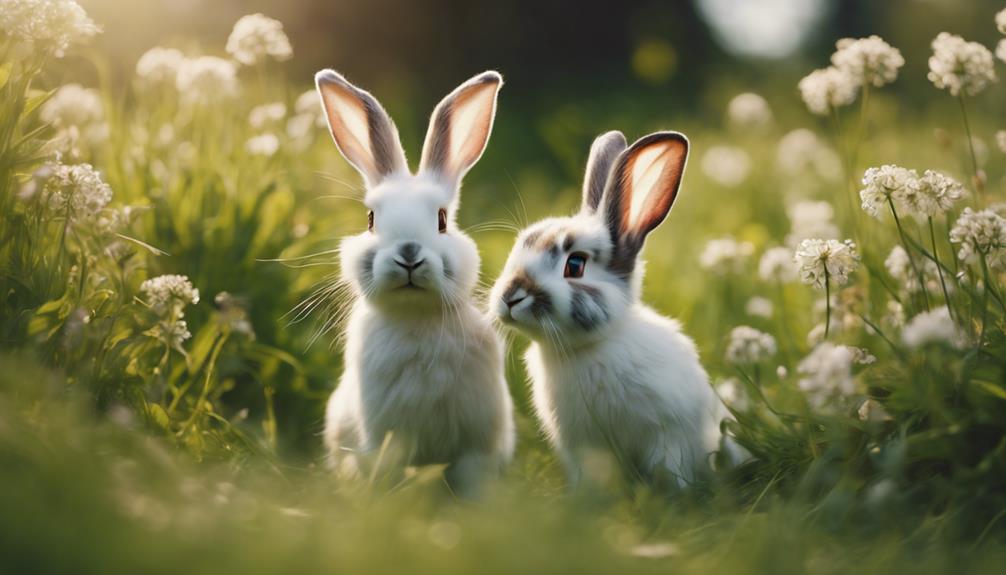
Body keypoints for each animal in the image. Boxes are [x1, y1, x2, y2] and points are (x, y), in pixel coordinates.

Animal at [316, 69, 515, 497]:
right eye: (371, 219)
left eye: (442, 219)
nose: (408, 254)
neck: (416, 319)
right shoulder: (383, 437)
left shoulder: (477, 443)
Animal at [490, 130, 742, 489]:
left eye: (575, 265)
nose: (511, 297)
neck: (584, 349)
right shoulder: (583, 447)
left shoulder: (668, 433)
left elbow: (670, 467)